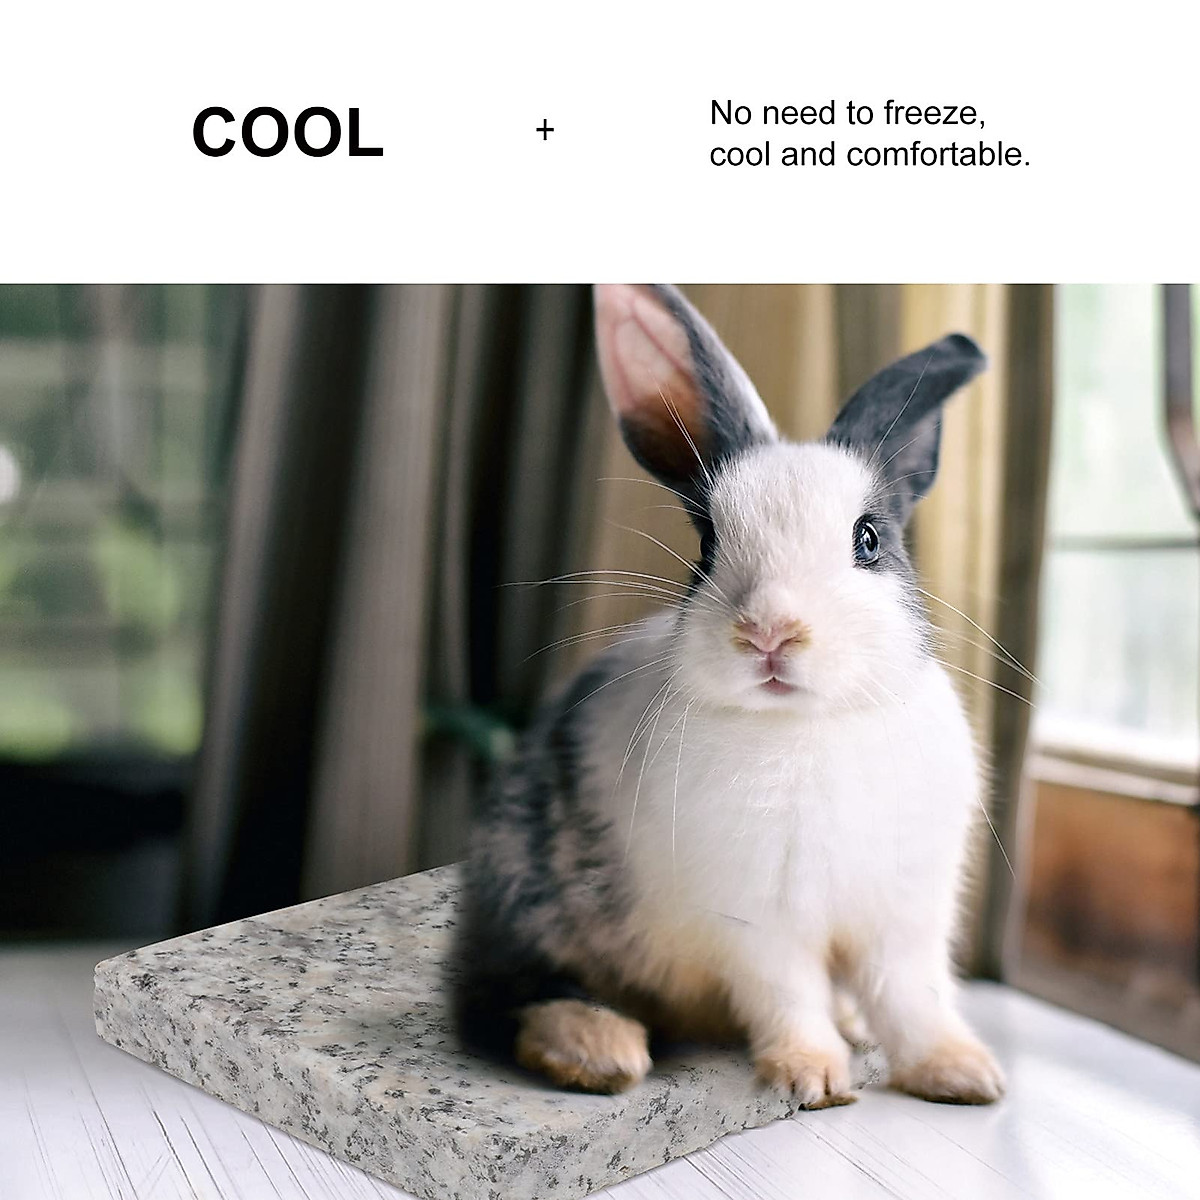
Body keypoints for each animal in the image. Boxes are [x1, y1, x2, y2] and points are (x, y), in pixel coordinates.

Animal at [452, 283, 1005, 1108]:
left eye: (869, 539)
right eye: (708, 545)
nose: (769, 630)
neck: (808, 726)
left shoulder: (904, 916)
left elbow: (912, 996)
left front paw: (963, 1075)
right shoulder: (757, 922)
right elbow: (790, 995)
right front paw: (813, 1078)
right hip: (528, 895)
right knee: (510, 994)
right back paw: (598, 1048)